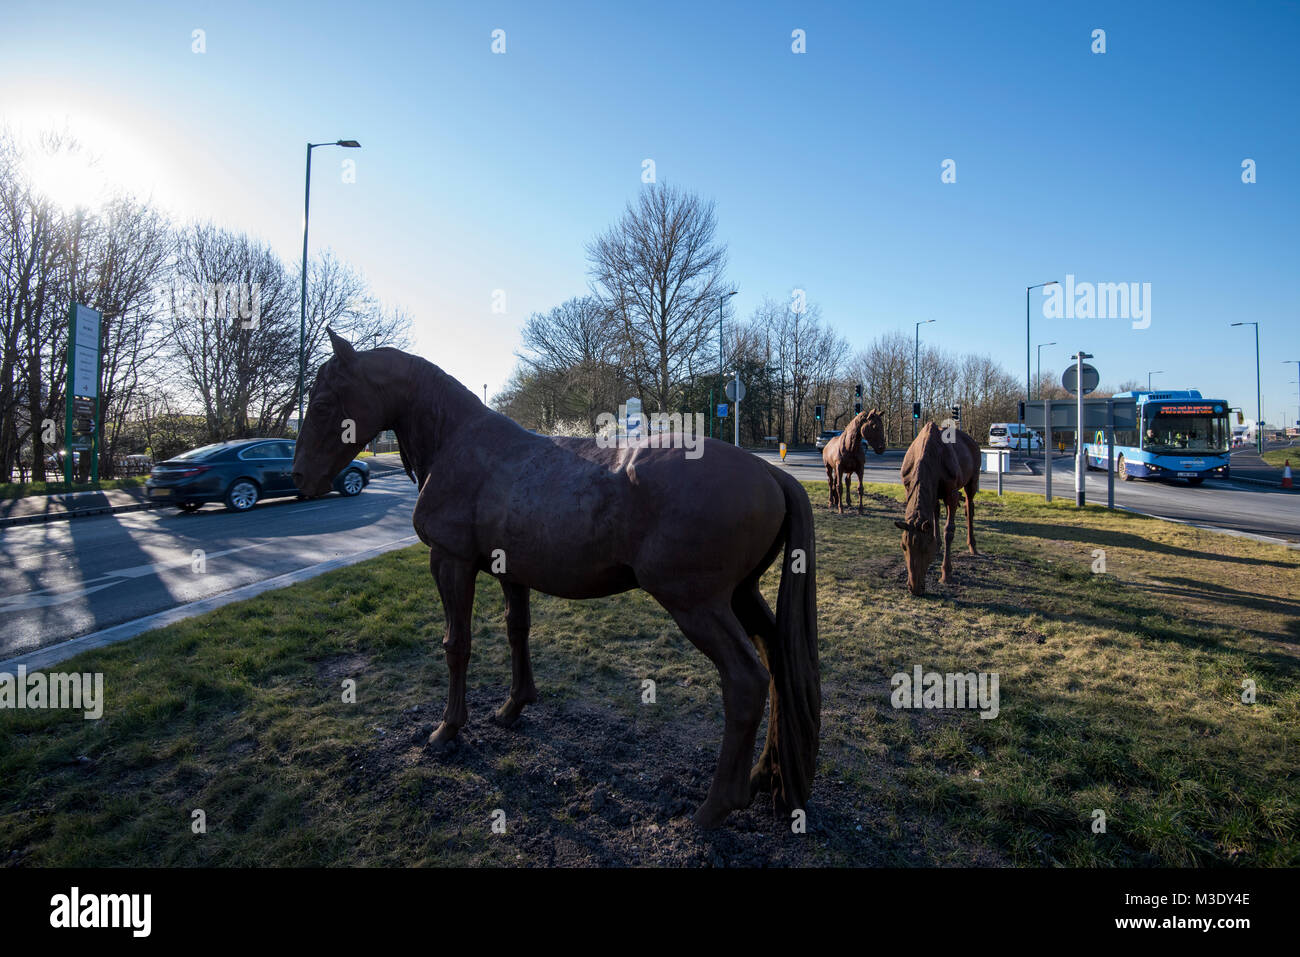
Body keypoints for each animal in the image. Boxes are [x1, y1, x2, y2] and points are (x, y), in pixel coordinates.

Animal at [292, 330, 821, 828]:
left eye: (323, 404)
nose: (299, 479)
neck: (458, 442)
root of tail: (769, 474)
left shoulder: (450, 562)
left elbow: (456, 644)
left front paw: (448, 730)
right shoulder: (510, 569)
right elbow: (516, 630)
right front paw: (514, 707)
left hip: (697, 604)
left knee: (746, 681)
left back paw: (716, 806)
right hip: (741, 596)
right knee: (776, 664)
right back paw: (763, 776)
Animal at [895, 421, 981, 596]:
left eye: (924, 548)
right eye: (903, 546)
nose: (914, 588)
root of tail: (972, 441)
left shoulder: (952, 493)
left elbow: (949, 530)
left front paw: (946, 573)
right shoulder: (911, 489)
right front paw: (937, 545)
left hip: (972, 480)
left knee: (969, 508)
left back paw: (972, 546)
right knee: (936, 511)